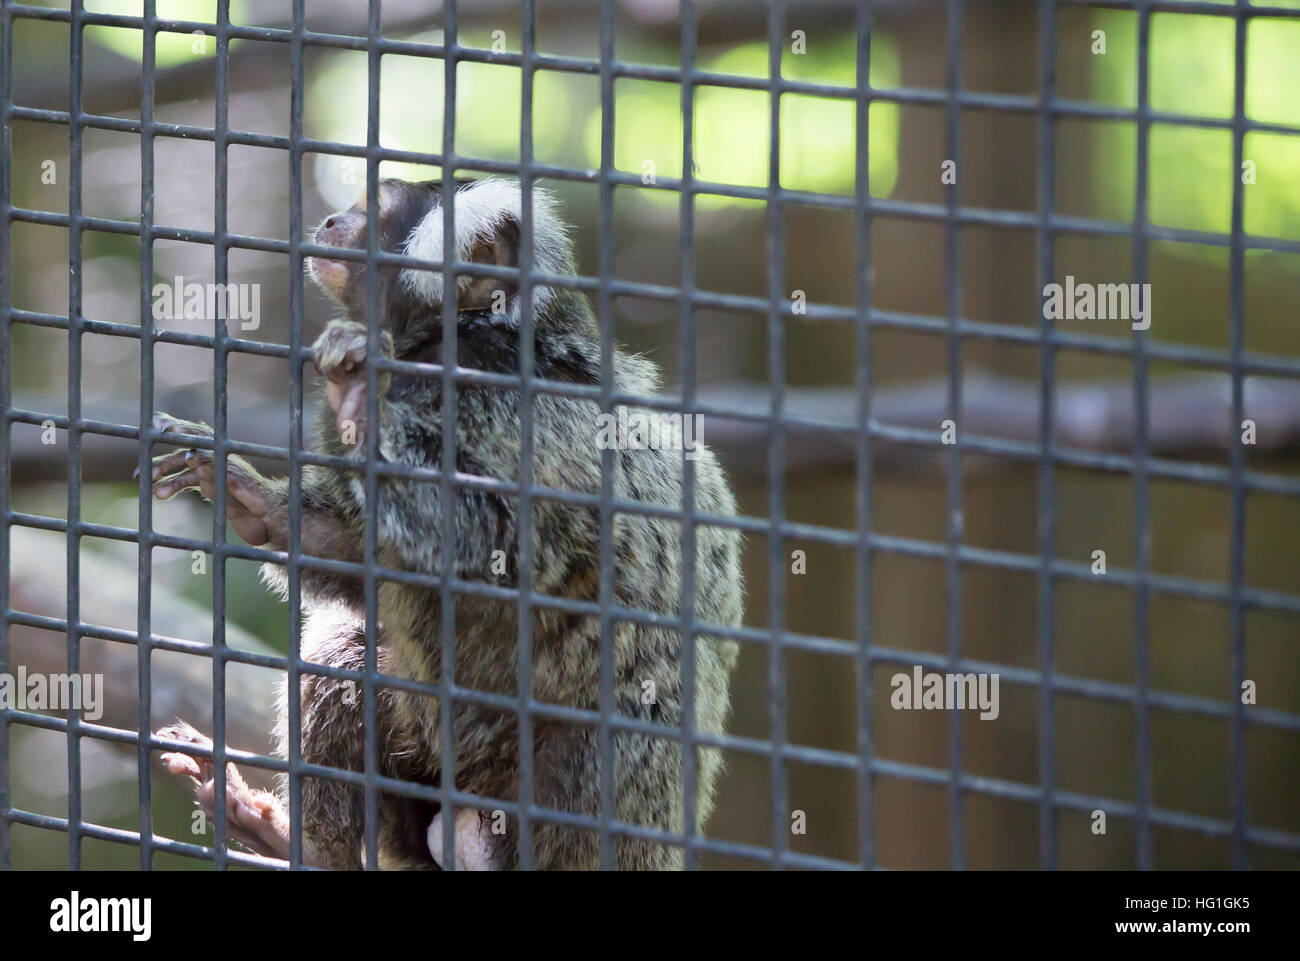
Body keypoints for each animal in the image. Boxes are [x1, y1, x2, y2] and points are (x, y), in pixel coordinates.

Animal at [149, 177, 744, 870]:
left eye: (373, 211)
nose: (330, 221)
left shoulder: (512, 406)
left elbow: (490, 541)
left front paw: (364, 405)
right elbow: (358, 554)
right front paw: (250, 500)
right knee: (346, 653)